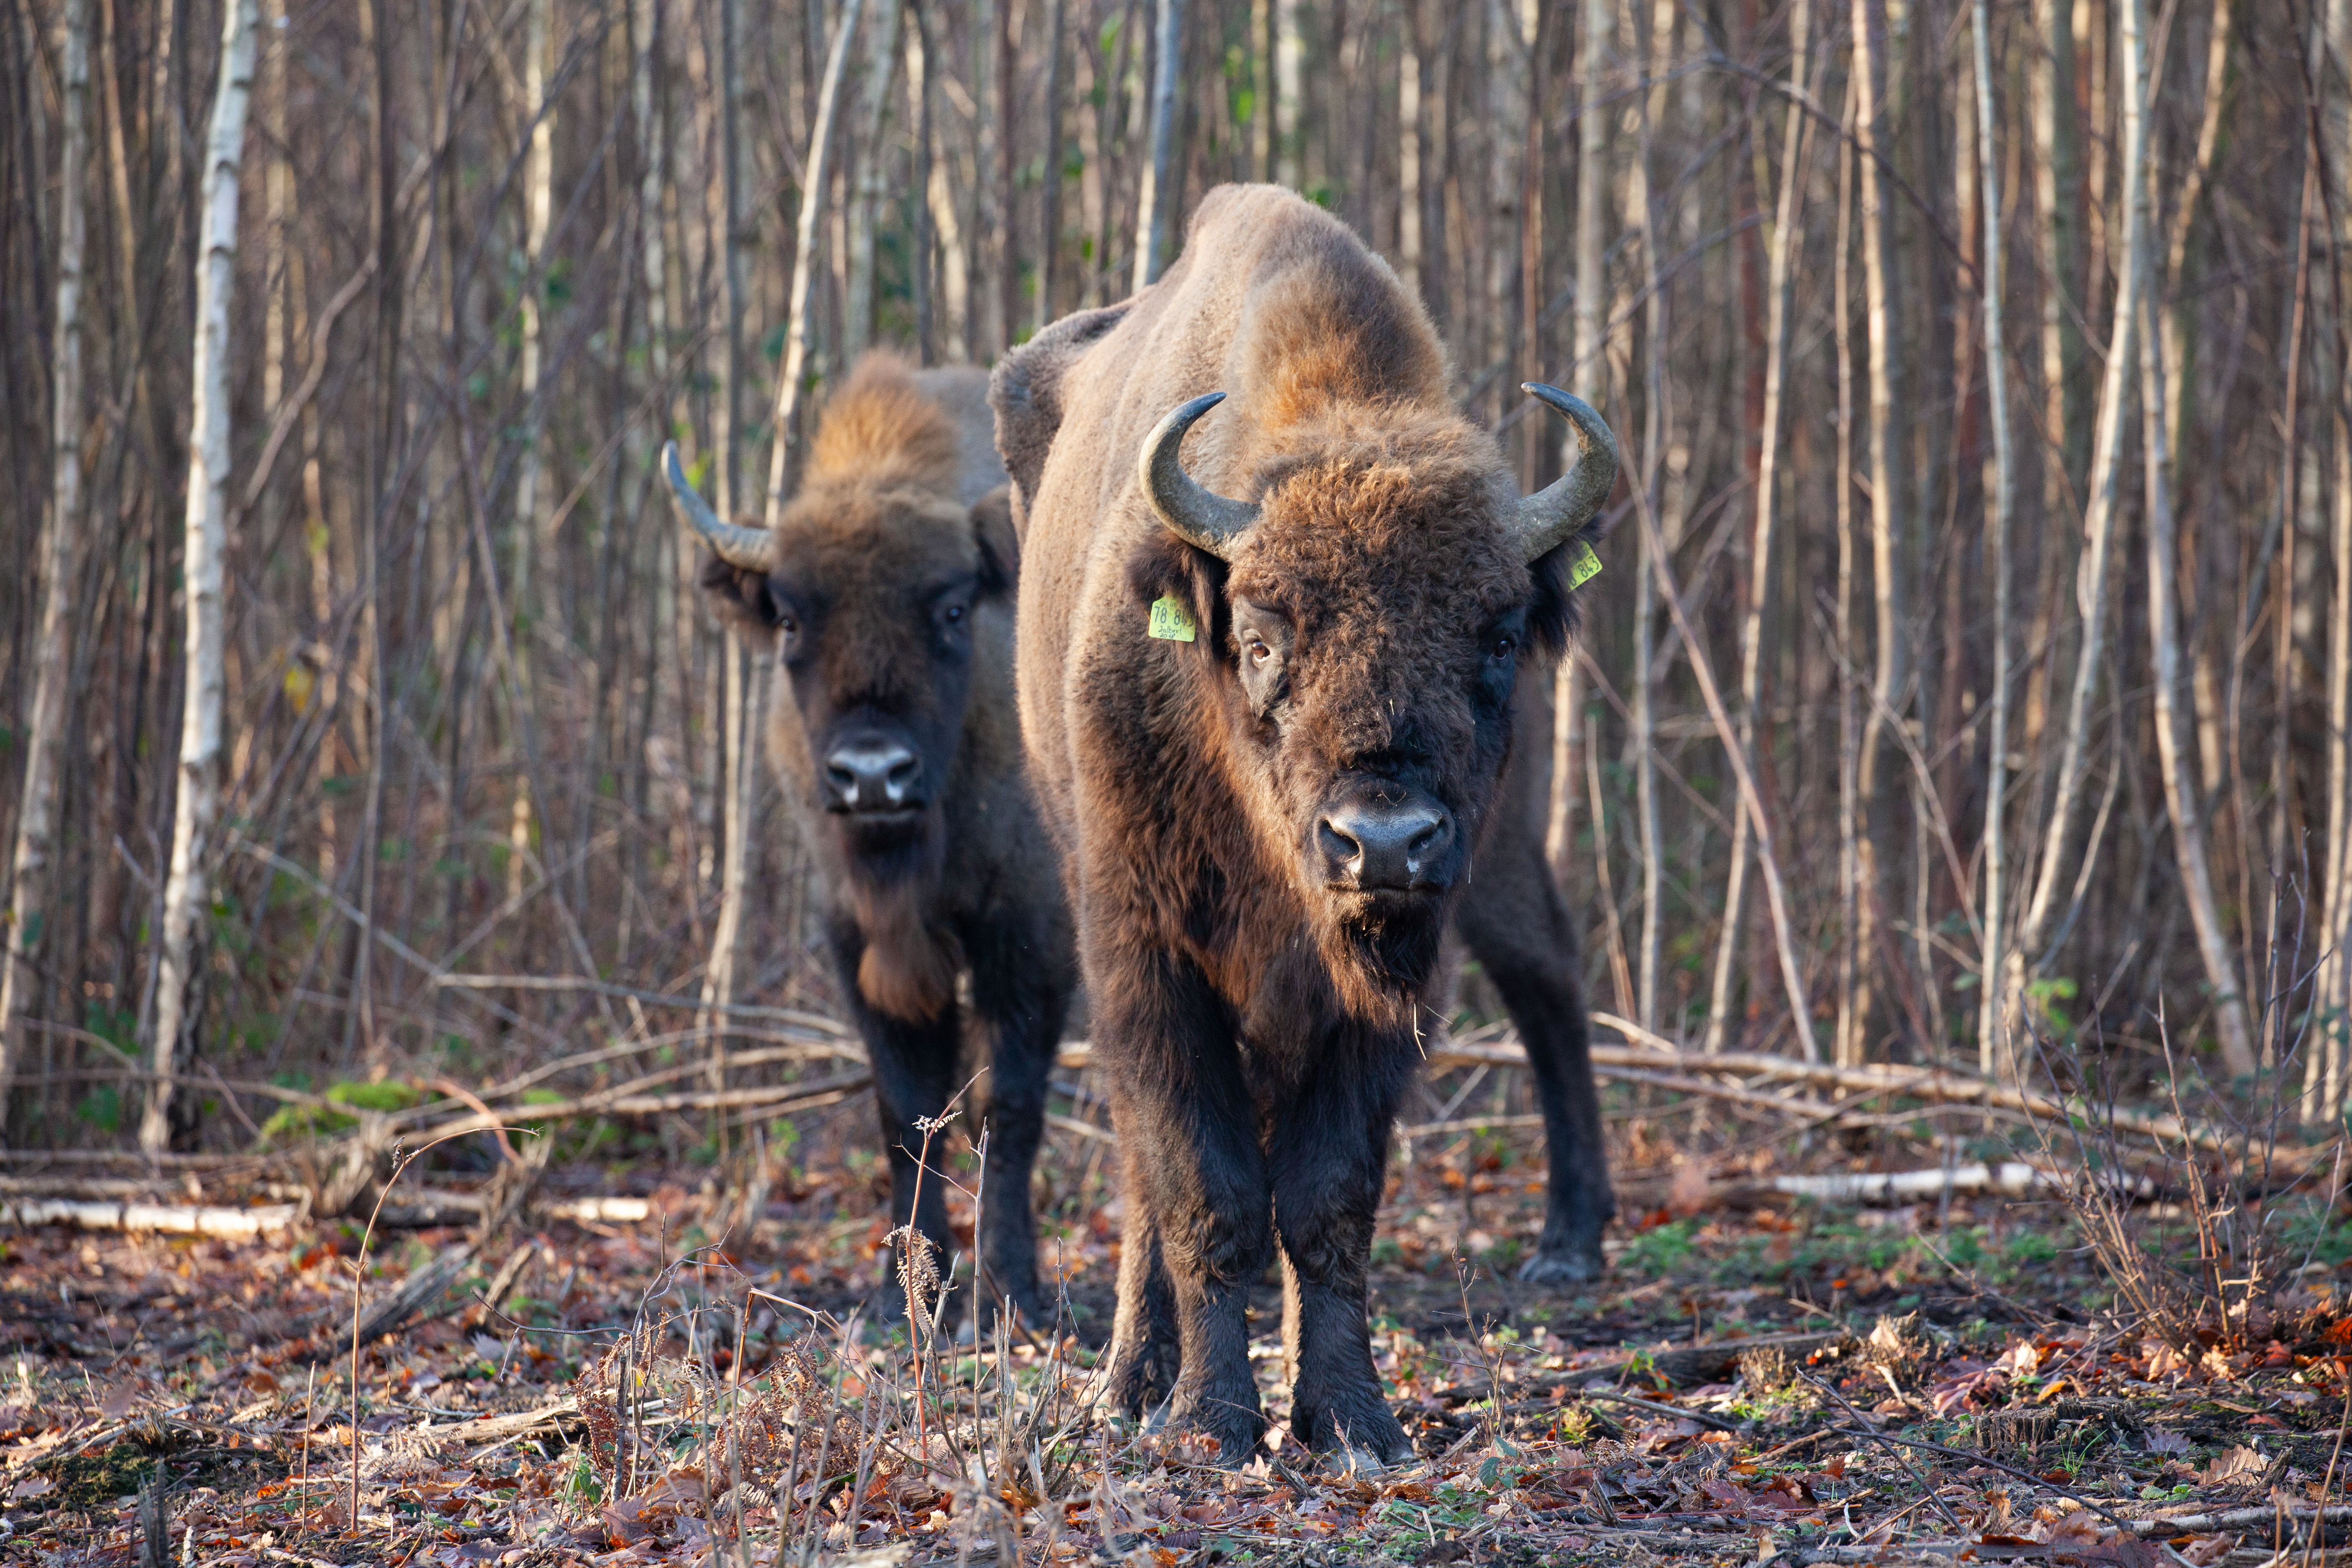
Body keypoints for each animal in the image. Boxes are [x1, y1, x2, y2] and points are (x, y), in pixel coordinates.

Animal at [666, 352, 1075, 1325]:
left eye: (955, 609)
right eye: (788, 618)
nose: (873, 775)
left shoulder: (1028, 928)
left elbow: (1009, 1104)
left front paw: (1012, 1289)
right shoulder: (856, 938)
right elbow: (903, 1109)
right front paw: (909, 1294)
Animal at [991, 185, 1618, 1464]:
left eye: (1495, 636)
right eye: (1262, 634)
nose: (1382, 841)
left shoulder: (1389, 986)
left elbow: (1329, 1197)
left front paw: (1350, 1421)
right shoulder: (1147, 952)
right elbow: (1204, 1187)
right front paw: (1209, 1423)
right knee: (1147, 1174)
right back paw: (1132, 1381)